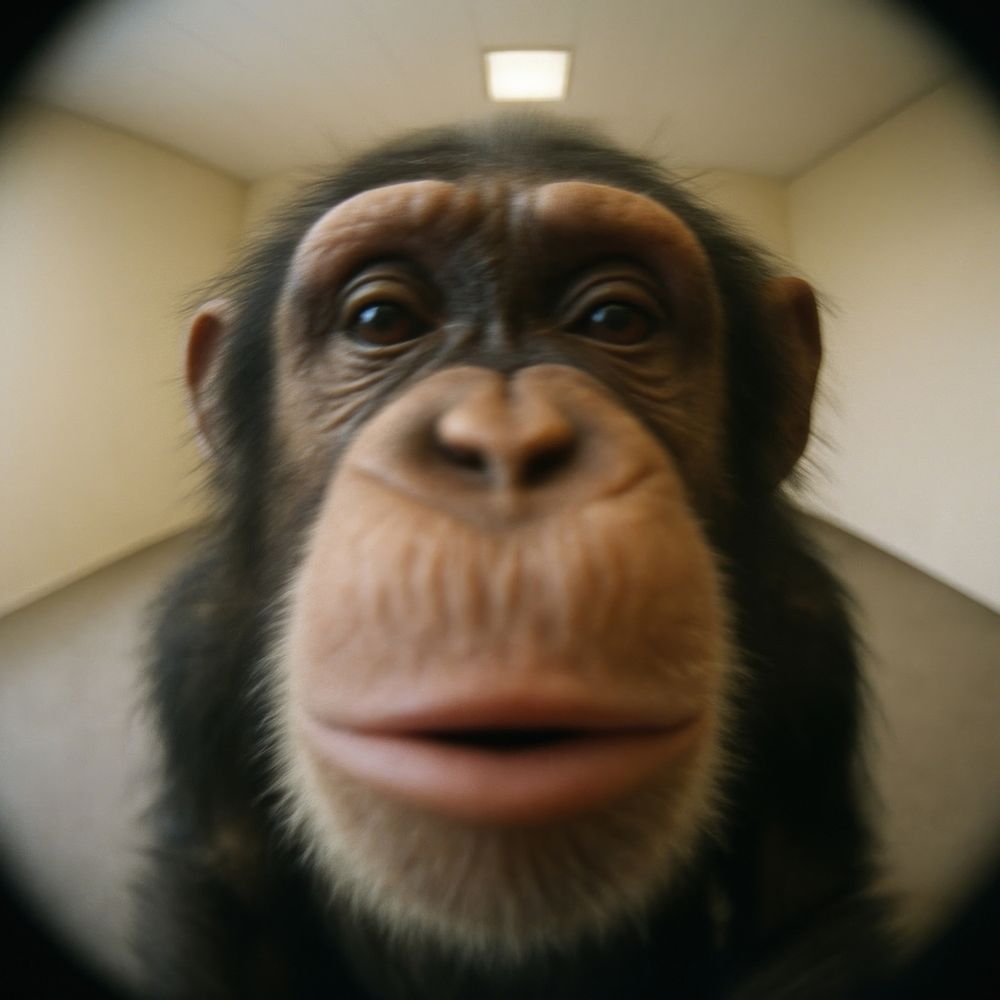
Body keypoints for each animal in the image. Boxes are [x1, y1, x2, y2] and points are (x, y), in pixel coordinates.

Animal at [141, 116, 890, 999]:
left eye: (614, 320)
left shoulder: (814, 643)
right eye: (380, 320)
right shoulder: (196, 647)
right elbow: (228, 900)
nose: (505, 443)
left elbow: (804, 909)